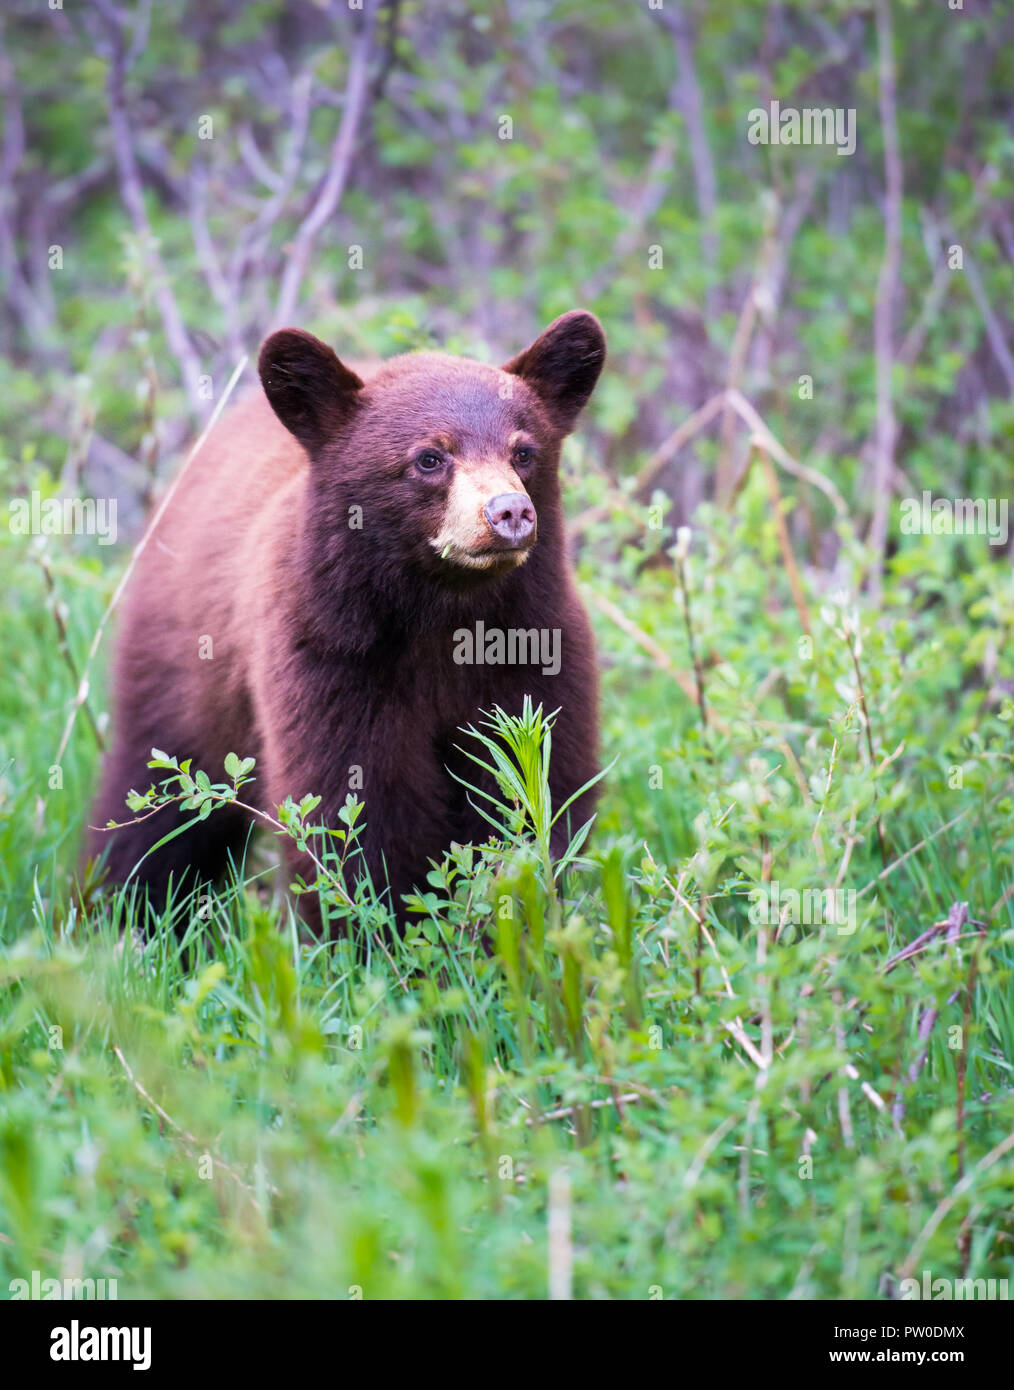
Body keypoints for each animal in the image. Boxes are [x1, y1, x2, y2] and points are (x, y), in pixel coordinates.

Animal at [87, 309, 606, 932]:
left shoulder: (536, 643)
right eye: (430, 457)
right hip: (177, 664)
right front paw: (373, 937)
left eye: (524, 452)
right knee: (150, 798)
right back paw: (120, 915)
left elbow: (532, 791)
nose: (508, 511)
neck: (445, 614)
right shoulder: (327, 654)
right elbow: (351, 803)